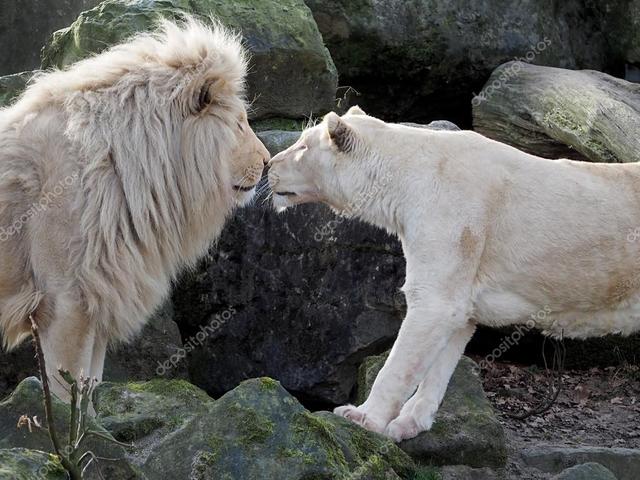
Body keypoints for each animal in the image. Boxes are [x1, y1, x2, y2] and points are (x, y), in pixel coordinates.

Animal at [0, 17, 270, 400]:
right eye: (239, 123)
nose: (267, 161)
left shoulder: (98, 297)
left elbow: (91, 387)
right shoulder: (64, 301)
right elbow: (67, 392)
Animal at [268, 106, 640, 442]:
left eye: (302, 146)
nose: (269, 165)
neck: (406, 176)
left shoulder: (453, 231)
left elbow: (408, 349)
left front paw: (360, 416)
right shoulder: (464, 281)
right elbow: (447, 344)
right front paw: (408, 423)